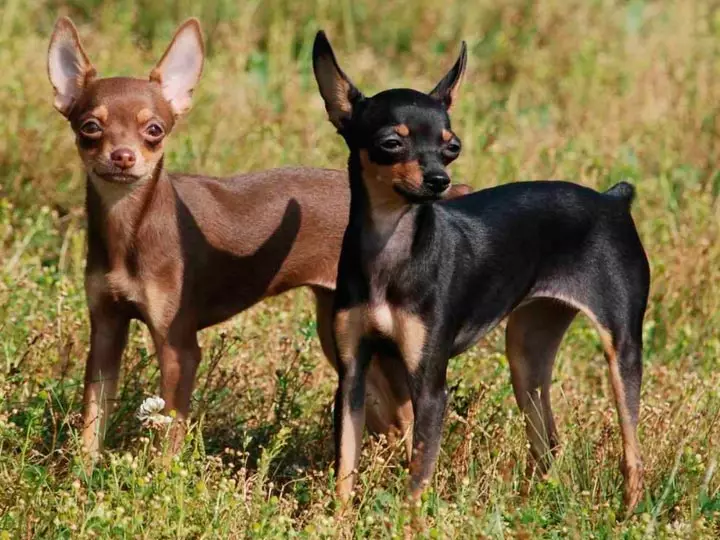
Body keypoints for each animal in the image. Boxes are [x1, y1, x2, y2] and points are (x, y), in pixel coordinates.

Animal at [46, 17, 472, 456]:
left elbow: (170, 439)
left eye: (154, 130)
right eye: (90, 128)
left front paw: (161, 471)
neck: (131, 226)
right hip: (343, 339)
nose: (123, 156)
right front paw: (83, 466)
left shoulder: (179, 348)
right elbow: (93, 419)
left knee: (407, 419)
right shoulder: (106, 330)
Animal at [312, 31, 648, 512]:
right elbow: (345, 468)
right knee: (548, 443)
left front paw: (407, 523)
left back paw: (630, 514)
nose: (439, 180)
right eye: (392, 143)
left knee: (632, 452)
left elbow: (417, 480)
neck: (392, 248)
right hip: (527, 356)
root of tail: (612, 200)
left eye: (452, 147)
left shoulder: (430, 388)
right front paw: (337, 520)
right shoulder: (353, 374)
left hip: (621, 352)